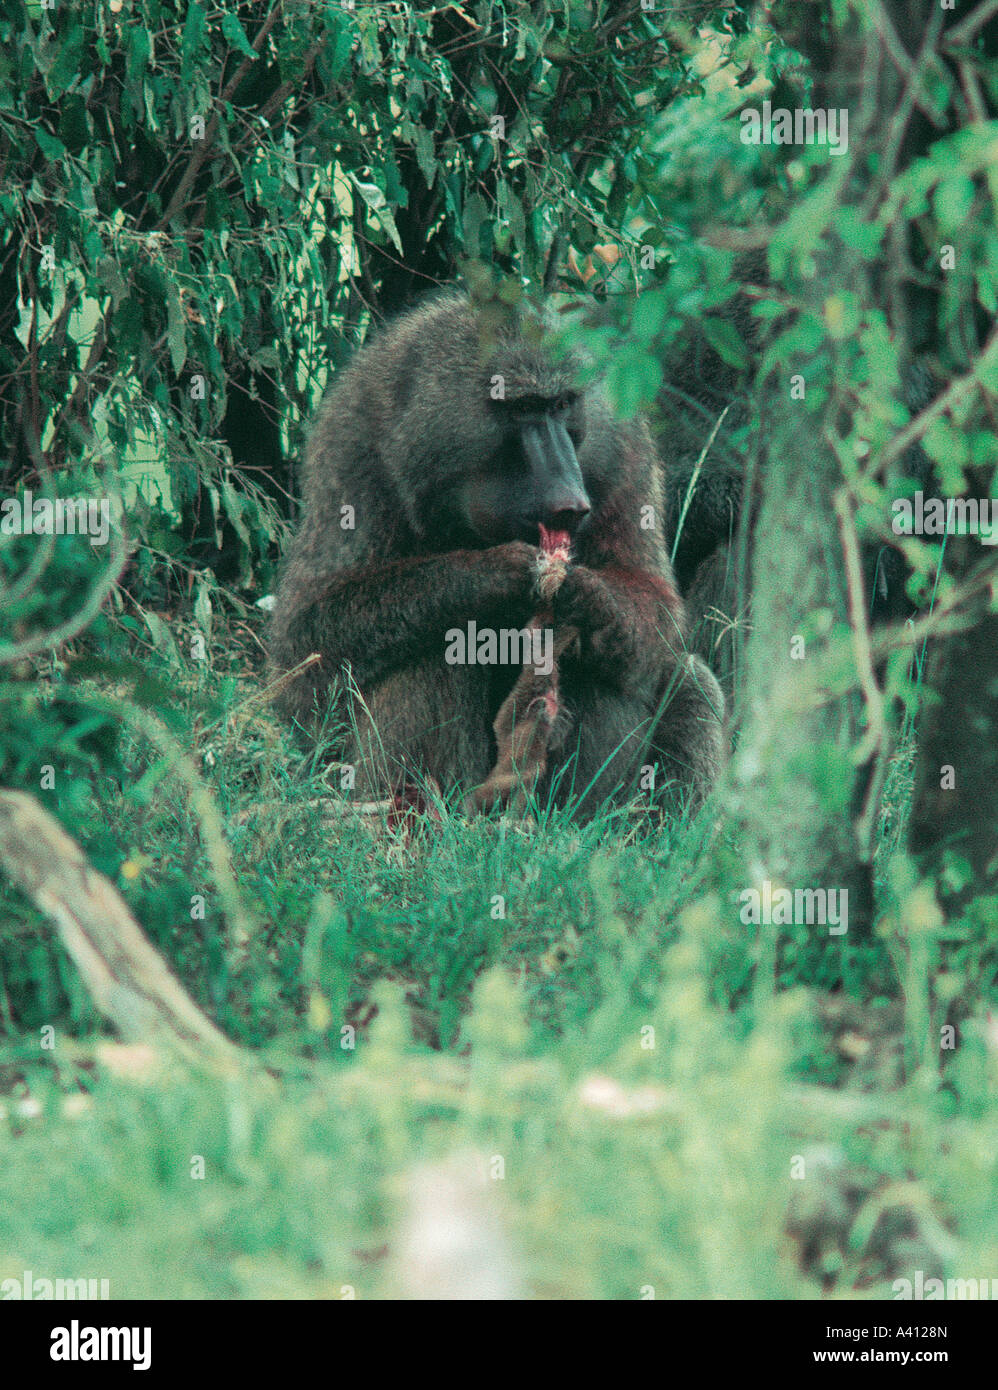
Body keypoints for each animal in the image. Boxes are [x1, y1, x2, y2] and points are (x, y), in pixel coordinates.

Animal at [268, 290, 725, 818]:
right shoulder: (352, 442)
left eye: (562, 404)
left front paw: (587, 597)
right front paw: (494, 573)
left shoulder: (624, 454)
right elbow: (304, 651)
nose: (569, 502)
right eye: (522, 407)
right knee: (427, 650)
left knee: (675, 674)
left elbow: (656, 610)